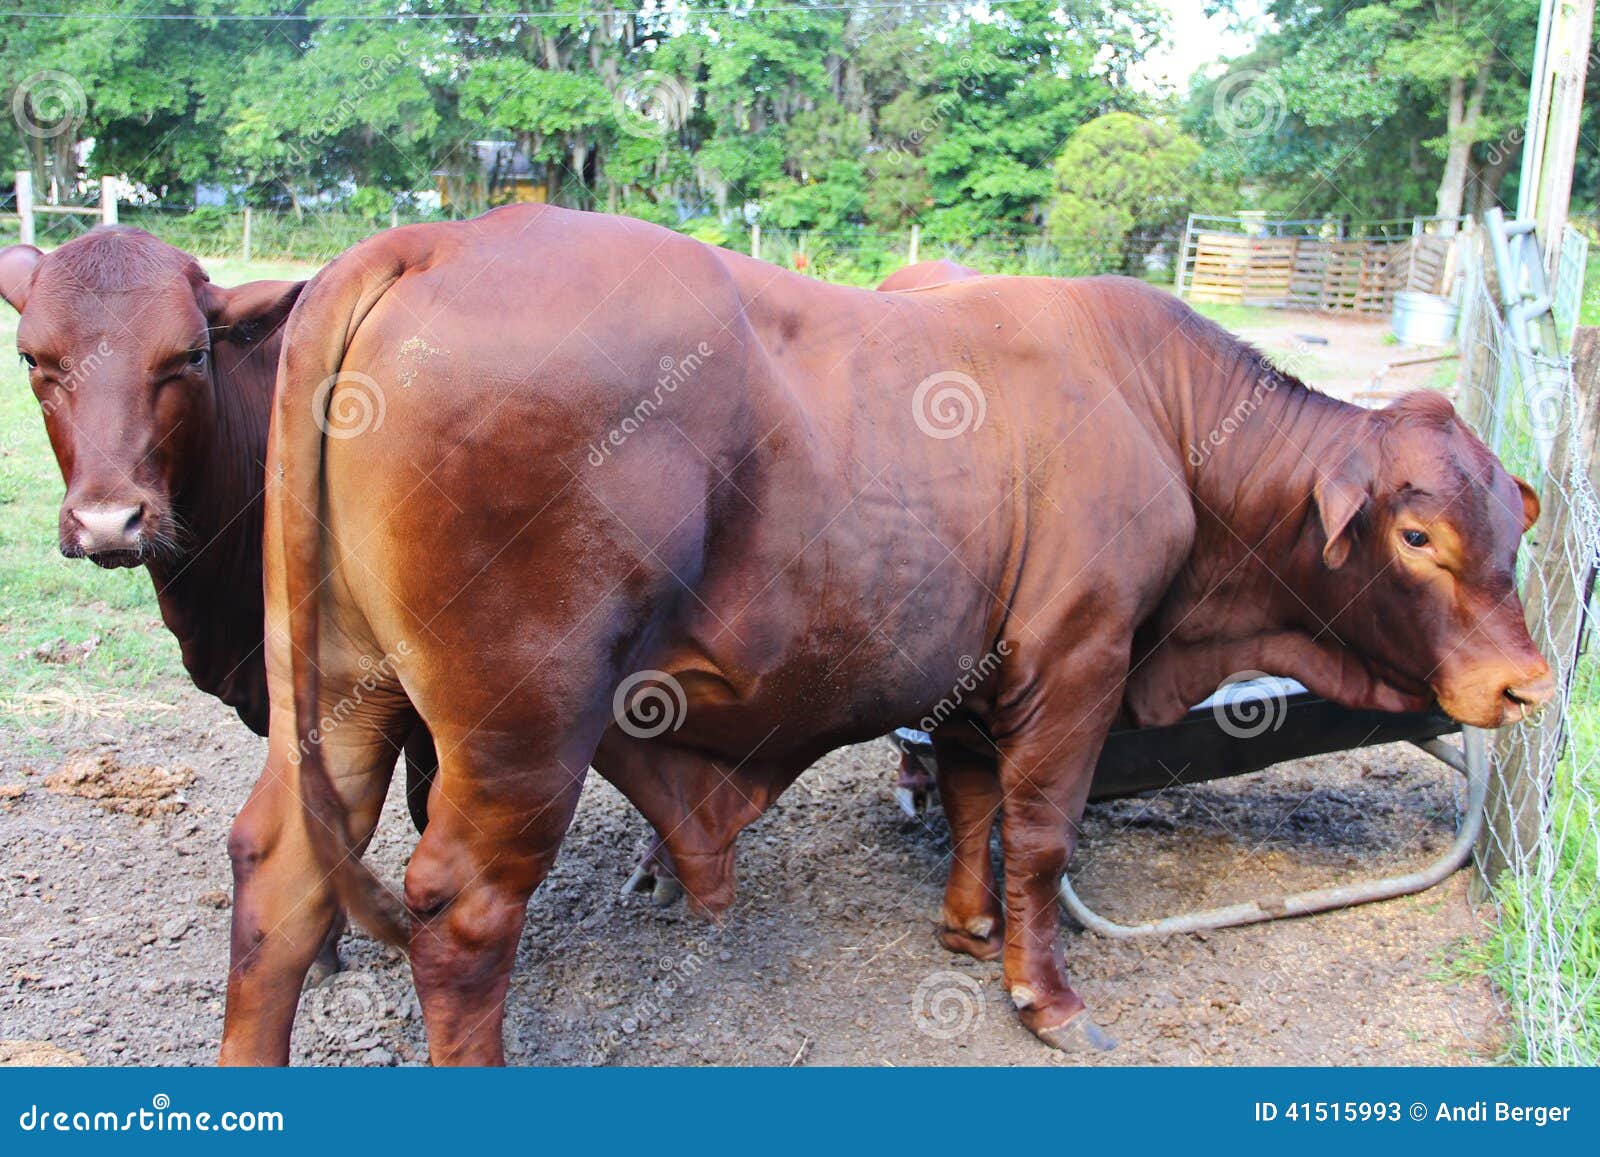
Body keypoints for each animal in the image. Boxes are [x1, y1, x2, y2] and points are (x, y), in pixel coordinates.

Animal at [220, 204, 1551, 1065]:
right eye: (1416, 536)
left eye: (1512, 524)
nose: (1528, 681)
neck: (1164, 417)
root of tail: (434, 236)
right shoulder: (1078, 657)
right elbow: (1043, 834)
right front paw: (1044, 993)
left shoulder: (973, 666)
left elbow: (967, 796)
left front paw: (966, 926)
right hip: (522, 724)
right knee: (460, 914)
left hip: (345, 692)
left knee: (279, 871)